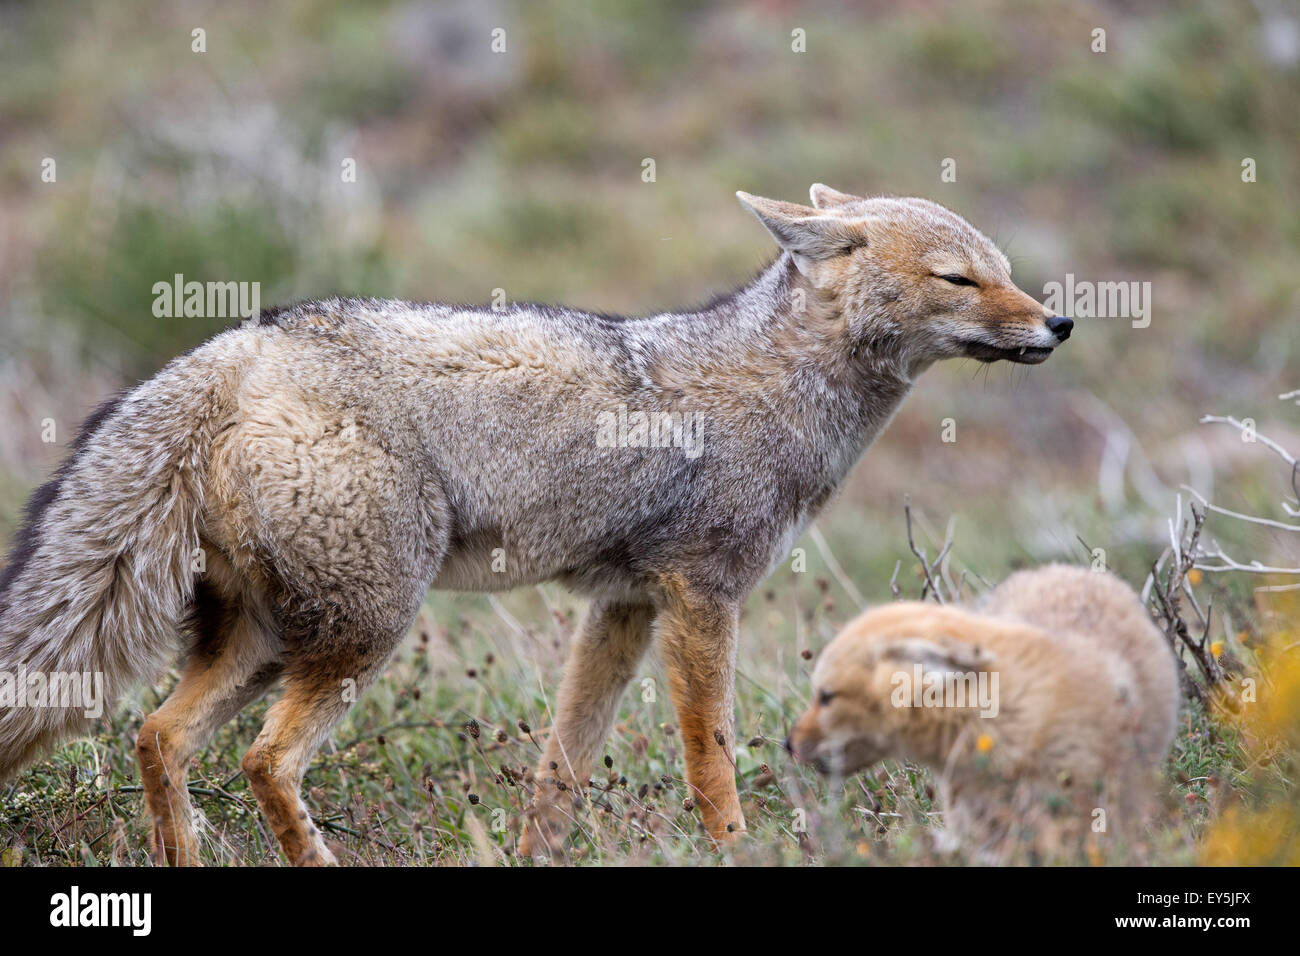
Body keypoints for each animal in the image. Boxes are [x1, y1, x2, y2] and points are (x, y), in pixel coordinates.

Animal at [0, 184, 1072, 865]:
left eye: (1007, 272)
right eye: (962, 280)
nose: (1059, 325)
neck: (778, 386)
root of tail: (235, 344)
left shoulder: (622, 609)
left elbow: (561, 770)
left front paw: (533, 856)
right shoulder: (702, 597)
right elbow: (712, 758)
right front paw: (737, 849)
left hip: (265, 641)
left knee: (159, 737)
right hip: (360, 633)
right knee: (266, 760)